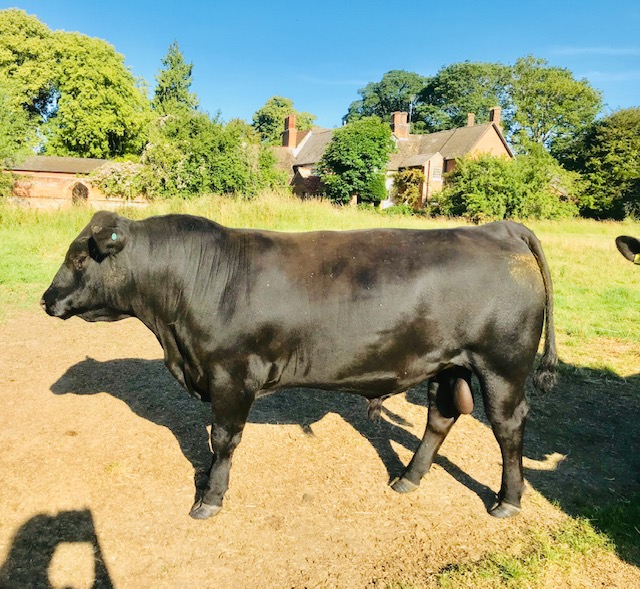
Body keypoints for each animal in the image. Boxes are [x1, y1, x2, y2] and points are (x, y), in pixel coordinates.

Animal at [41, 211, 557, 520]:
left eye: (81, 256)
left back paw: (508, 501)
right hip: (446, 365)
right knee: (441, 417)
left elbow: (223, 440)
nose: (47, 299)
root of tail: (498, 228)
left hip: (502, 366)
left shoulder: (232, 376)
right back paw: (408, 478)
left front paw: (210, 497)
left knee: (508, 428)